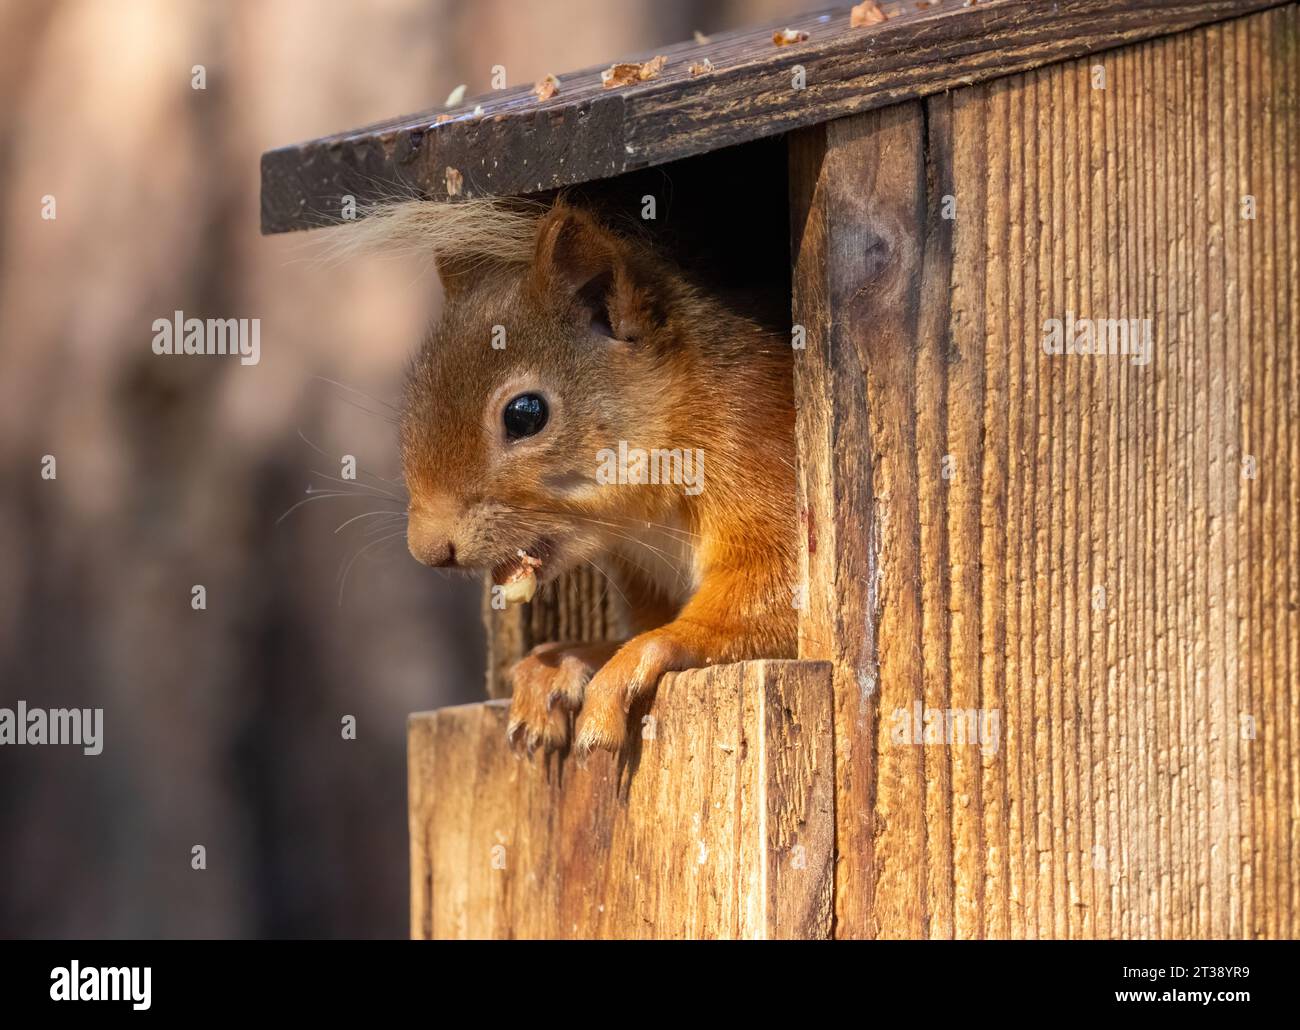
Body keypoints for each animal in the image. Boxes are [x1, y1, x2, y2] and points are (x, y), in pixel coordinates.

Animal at [386, 196, 798, 758]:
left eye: (525, 414)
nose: (429, 550)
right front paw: (564, 661)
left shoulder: (761, 456)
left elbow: (777, 593)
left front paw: (641, 653)